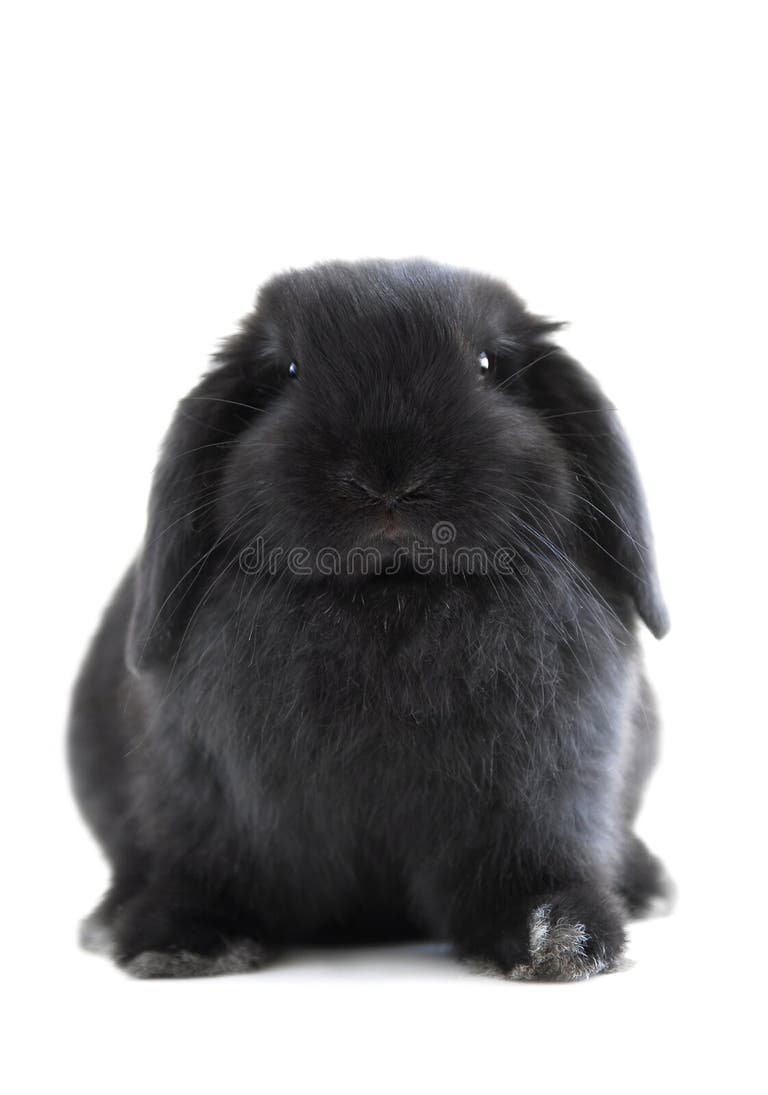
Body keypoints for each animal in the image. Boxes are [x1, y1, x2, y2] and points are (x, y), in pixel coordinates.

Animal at [69, 258, 671, 980]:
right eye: (288, 370)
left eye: (488, 364)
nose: (389, 477)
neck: (391, 596)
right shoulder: (205, 794)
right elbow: (204, 862)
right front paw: (183, 939)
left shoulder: (544, 793)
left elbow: (534, 862)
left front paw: (559, 936)